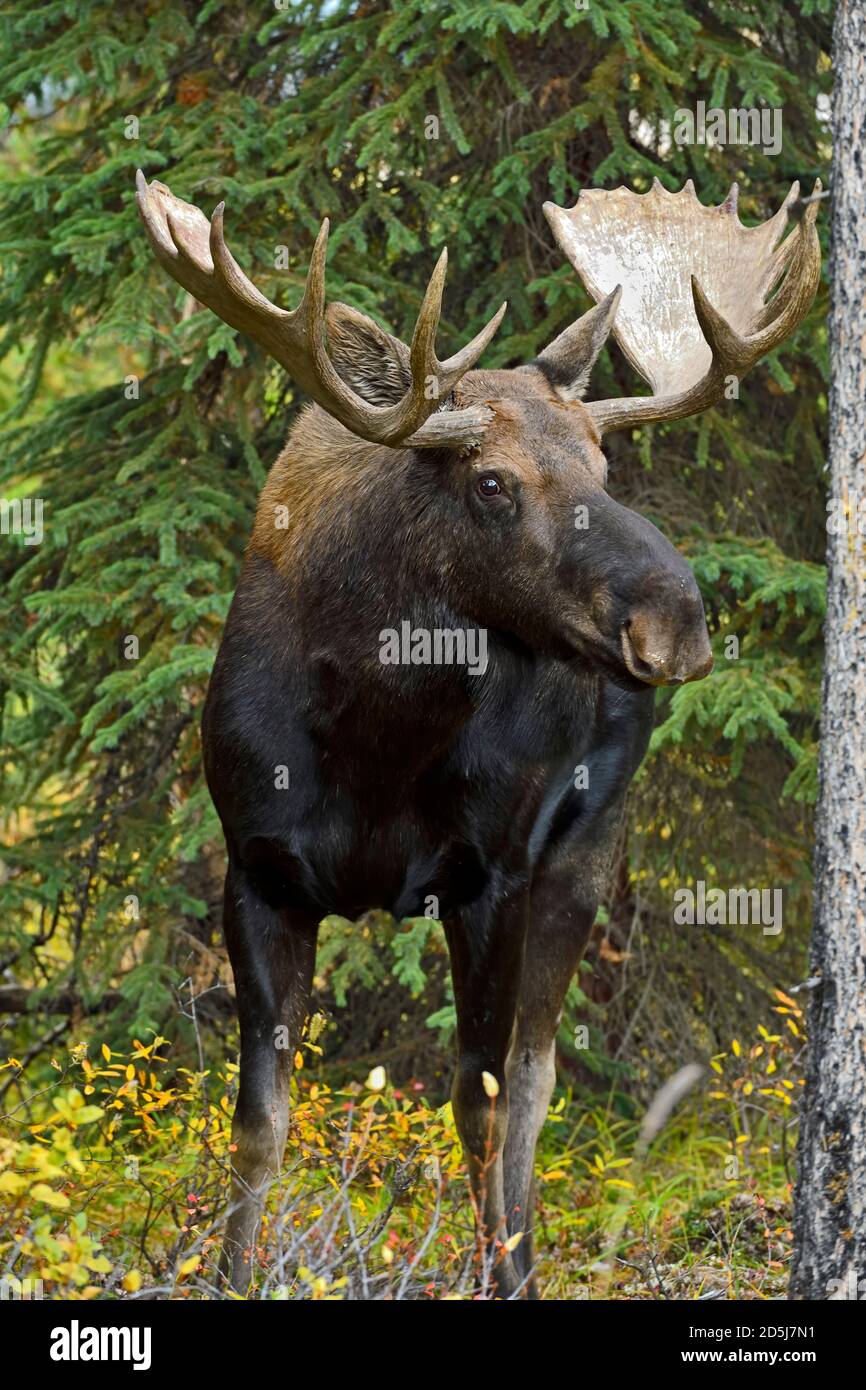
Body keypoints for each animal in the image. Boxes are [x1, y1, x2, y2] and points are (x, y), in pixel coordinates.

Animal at [136, 170, 821, 1298]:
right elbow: (259, 1123)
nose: (675, 619)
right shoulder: (257, 871)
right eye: (491, 483)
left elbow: (483, 1107)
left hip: (585, 849)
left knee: (535, 1090)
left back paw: (527, 1259)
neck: (372, 733)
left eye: (601, 460)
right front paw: (233, 1273)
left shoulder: (490, 873)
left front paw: (501, 1275)